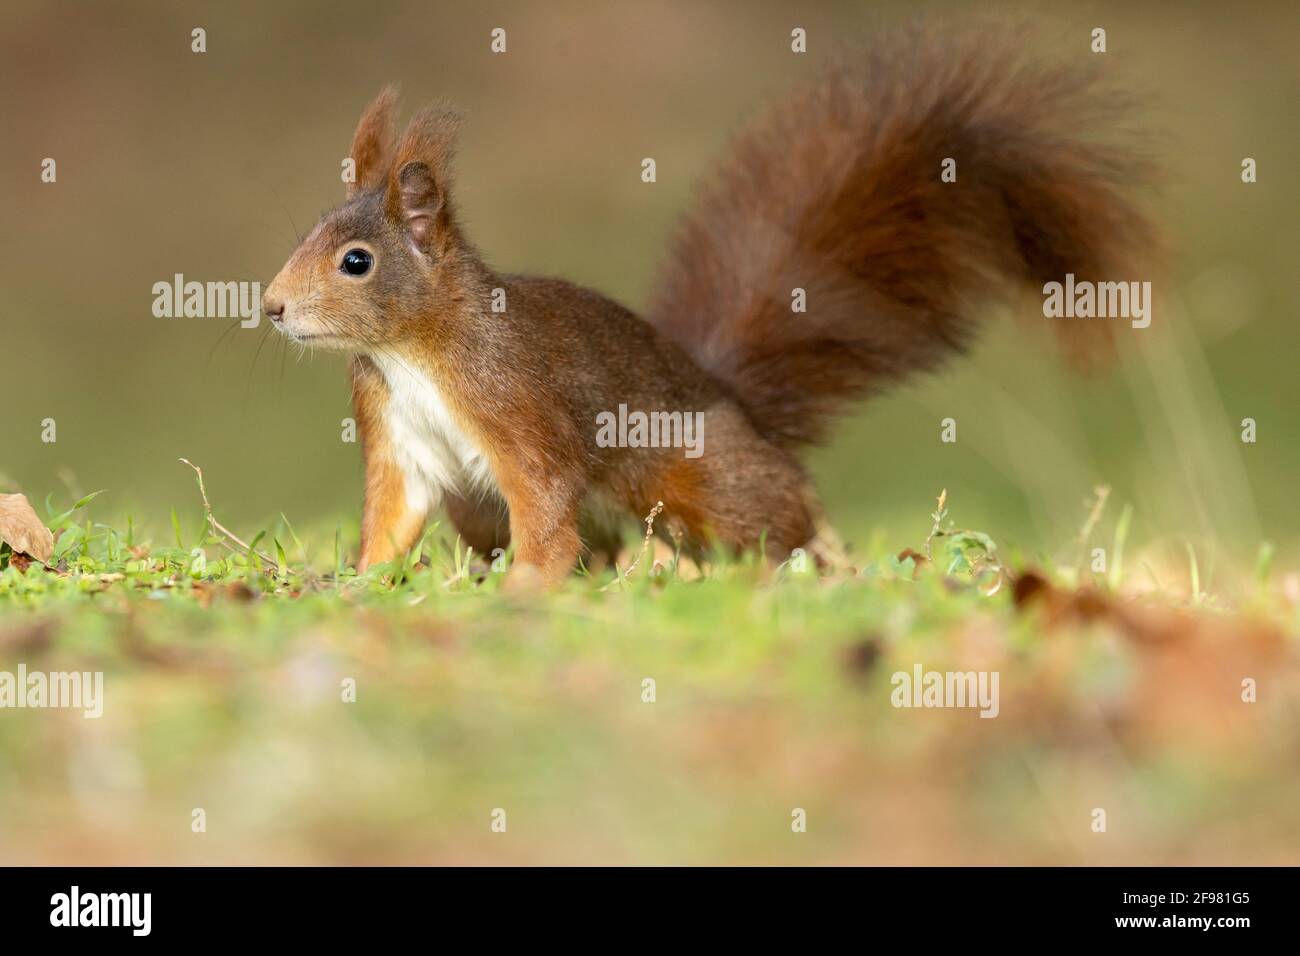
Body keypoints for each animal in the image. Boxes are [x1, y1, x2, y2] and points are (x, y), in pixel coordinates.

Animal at [263, 28, 1152, 588]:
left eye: (355, 261)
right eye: (307, 232)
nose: (270, 308)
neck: (414, 348)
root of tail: (736, 403)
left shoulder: (515, 404)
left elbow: (546, 508)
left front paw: (526, 588)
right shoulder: (397, 433)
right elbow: (391, 516)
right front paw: (361, 579)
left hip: (703, 473)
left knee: (777, 510)